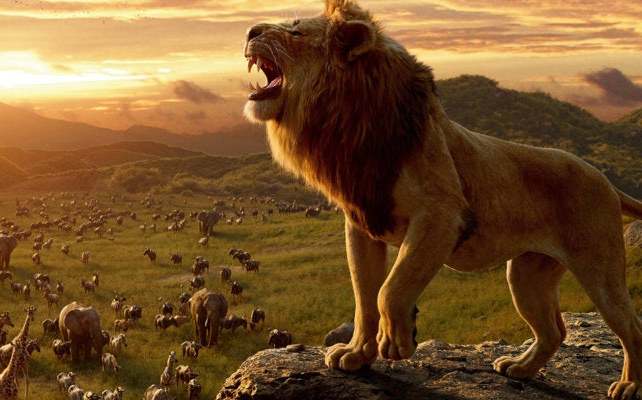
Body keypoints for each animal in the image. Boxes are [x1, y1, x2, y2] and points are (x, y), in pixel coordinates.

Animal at [242, 1, 642, 398]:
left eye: (295, 32)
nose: (249, 31)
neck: (348, 125)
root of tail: (605, 180)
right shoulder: (362, 224)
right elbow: (364, 298)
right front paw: (356, 355)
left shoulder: (442, 215)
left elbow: (390, 289)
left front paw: (397, 343)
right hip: (527, 275)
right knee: (554, 330)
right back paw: (520, 368)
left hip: (599, 268)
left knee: (631, 326)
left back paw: (628, 384)